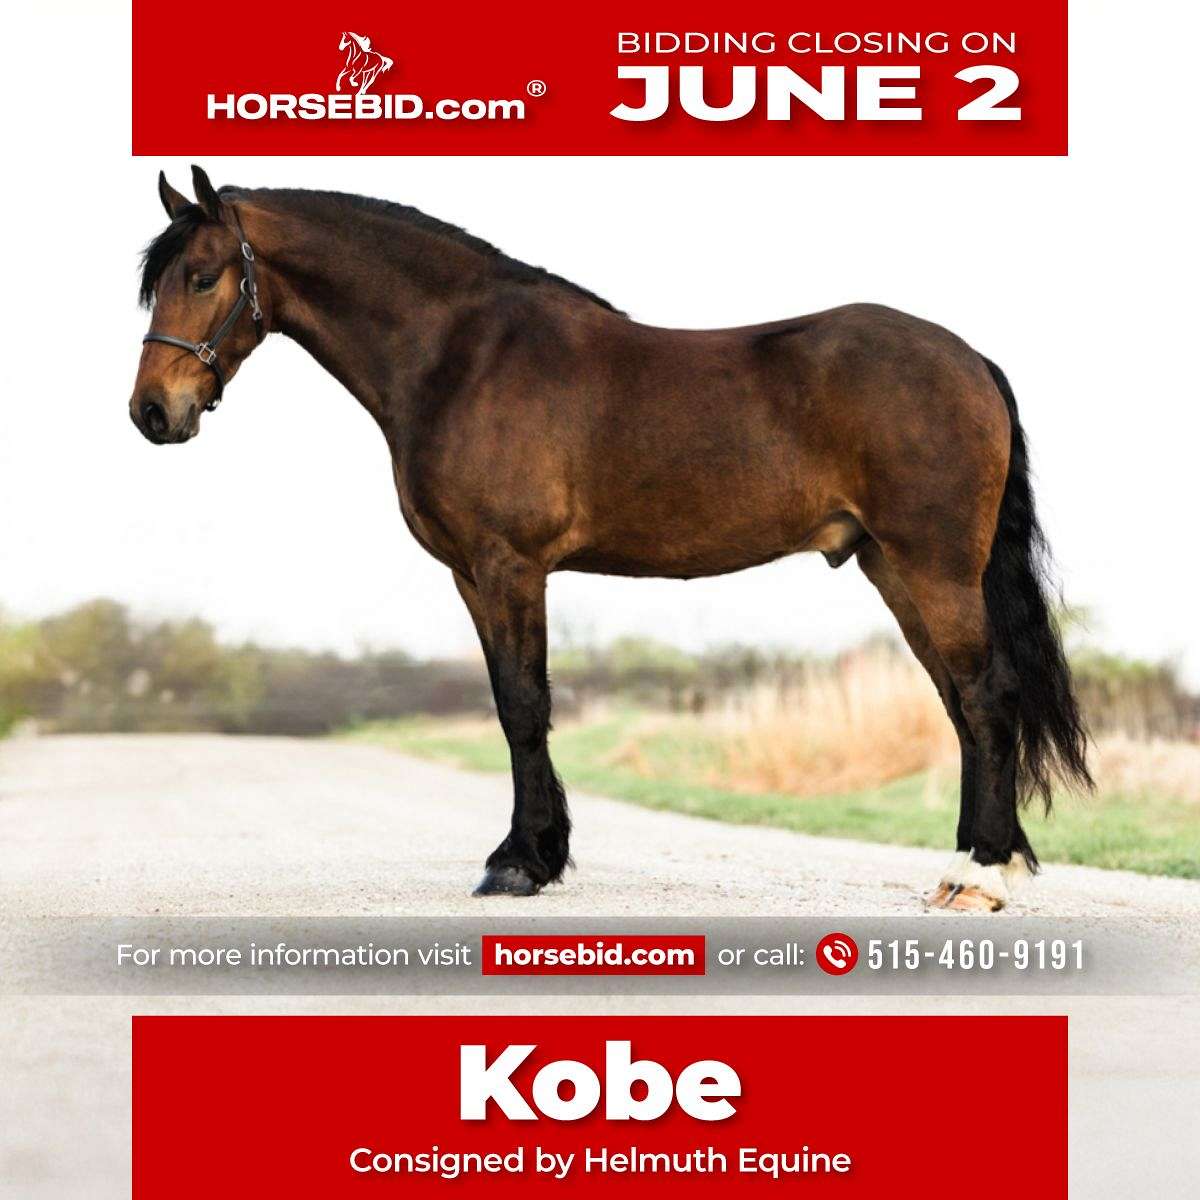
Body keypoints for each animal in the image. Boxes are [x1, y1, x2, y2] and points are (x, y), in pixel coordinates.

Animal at [130, 166, 1092, 910]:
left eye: (205, 275)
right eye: (161, 279)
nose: (153, 413)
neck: (459, 355)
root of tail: (969, 361)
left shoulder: (509, 565)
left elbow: (524, 705)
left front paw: (520, 863)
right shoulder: (472, 576)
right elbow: (515, 703)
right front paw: (538, 852)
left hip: (934, 566)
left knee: (986, 696)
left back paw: (984, 876)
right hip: (891, 566)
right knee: (961, 703)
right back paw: (970, 864)